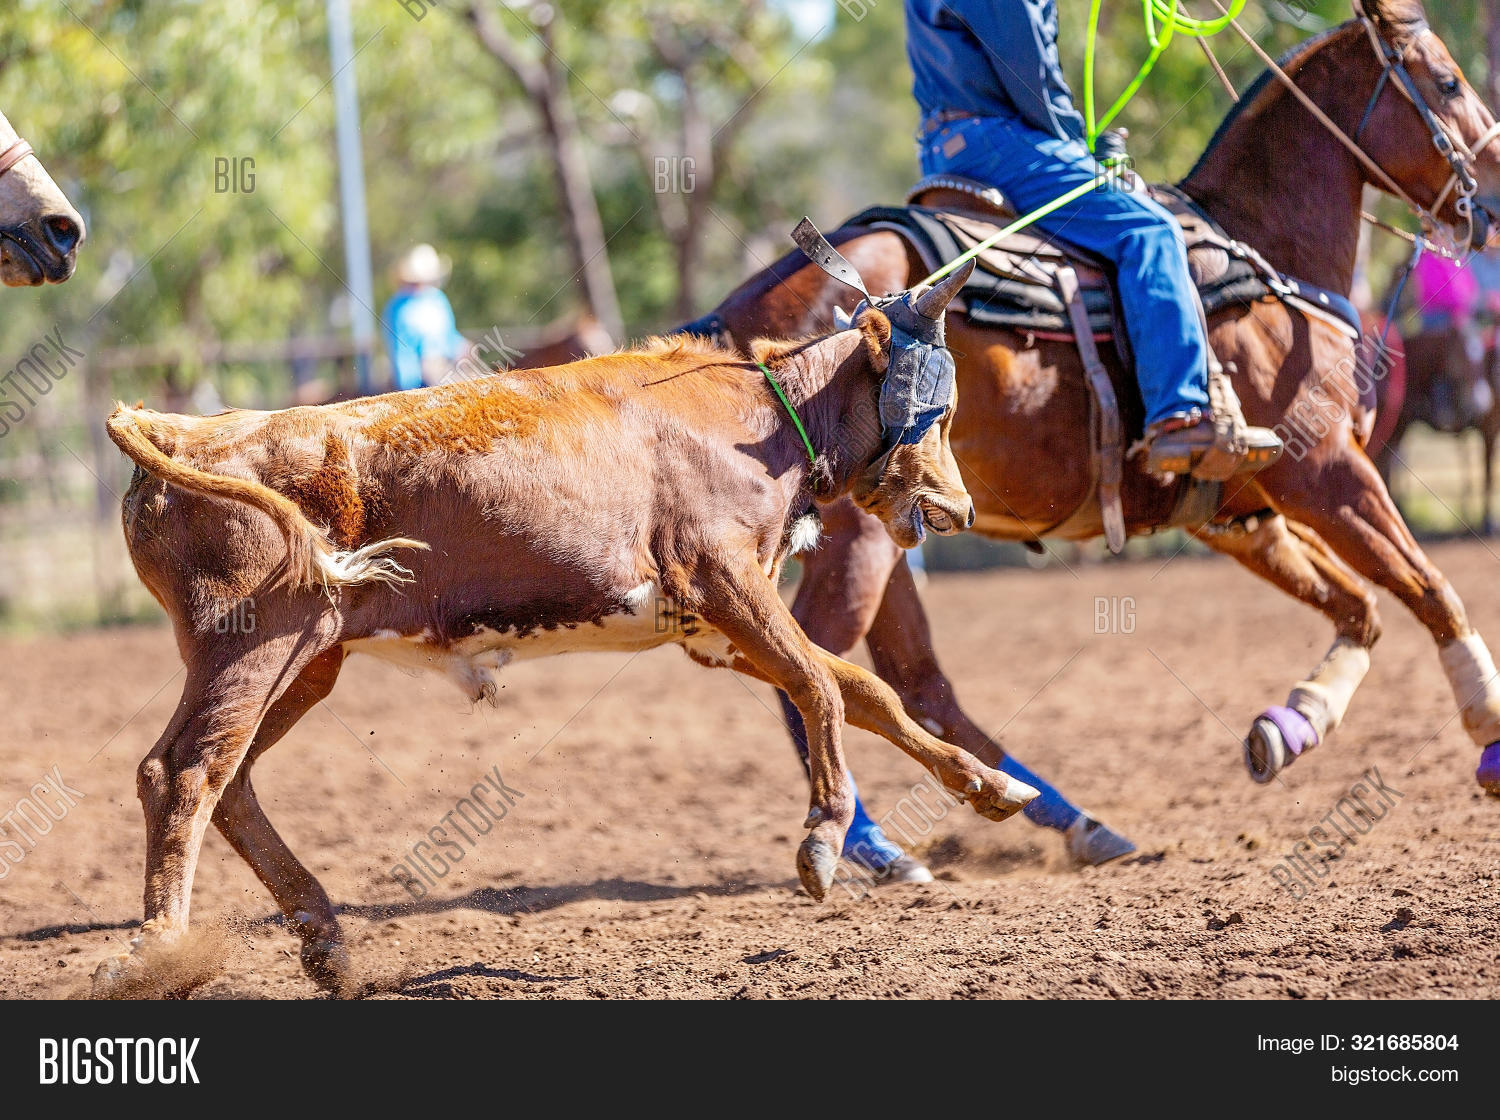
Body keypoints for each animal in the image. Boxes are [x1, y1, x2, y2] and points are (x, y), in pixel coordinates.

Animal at [90, 262, 1037, 996]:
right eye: (944, 412)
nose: (961, 508)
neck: (759, 421)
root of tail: (181, 433)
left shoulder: (714, 630)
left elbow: (862, 690)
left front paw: (989, 785)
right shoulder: (724, 582)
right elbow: (819, 689)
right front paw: (822, 839)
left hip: (306, 660)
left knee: (230, 781)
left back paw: (324, 943)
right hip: (251, 645)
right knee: (183, 773)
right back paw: (158, 957)